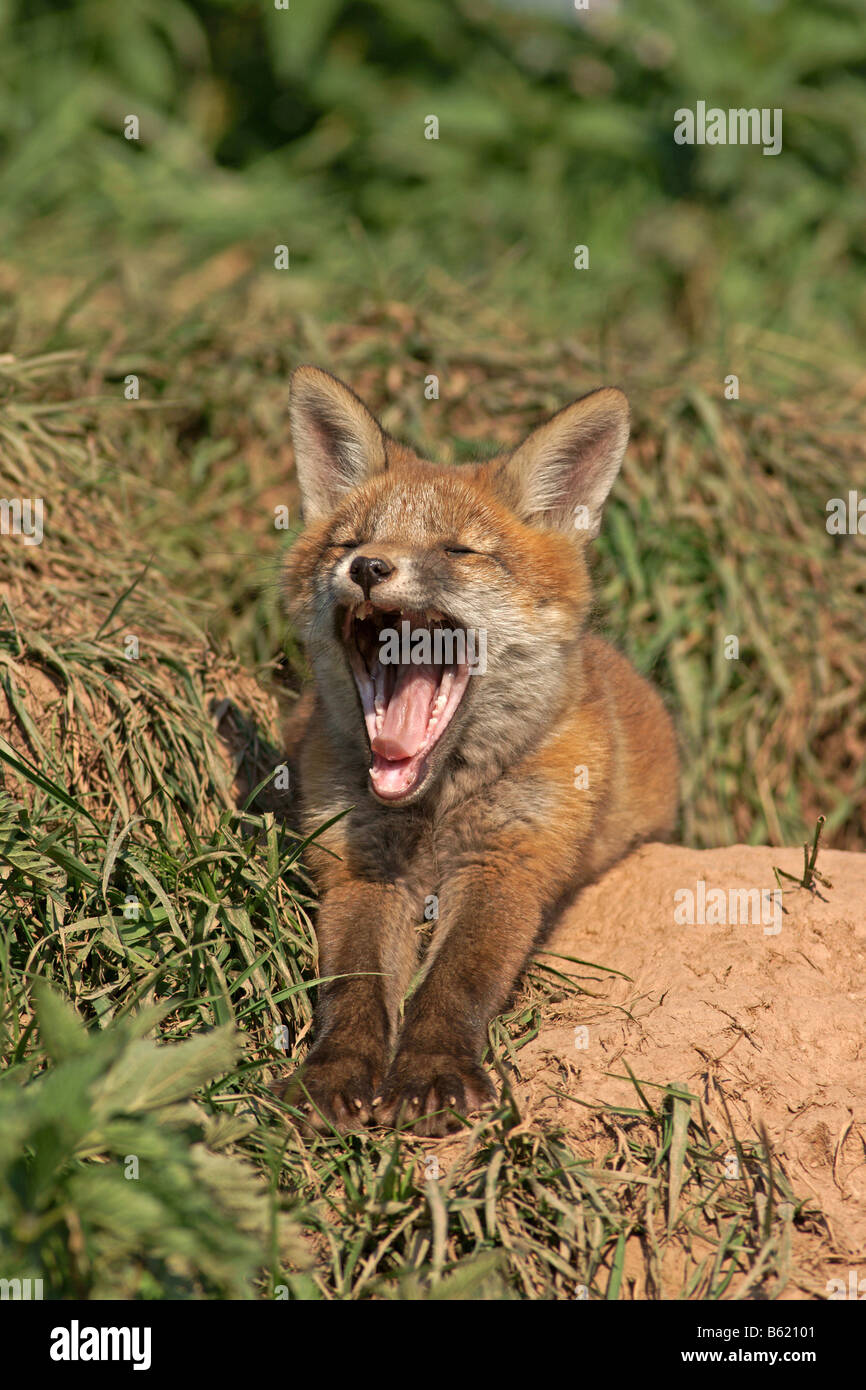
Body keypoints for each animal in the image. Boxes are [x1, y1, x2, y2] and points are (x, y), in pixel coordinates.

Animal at [278, 366, 678, 1136]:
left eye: (457, 551)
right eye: (350, 542)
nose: (368, 567)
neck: (438, 809)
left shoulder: (512, 862)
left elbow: (457, 979)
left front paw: (432, 1073)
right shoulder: (358, 865)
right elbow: (353, 982)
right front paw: (337, 1073)